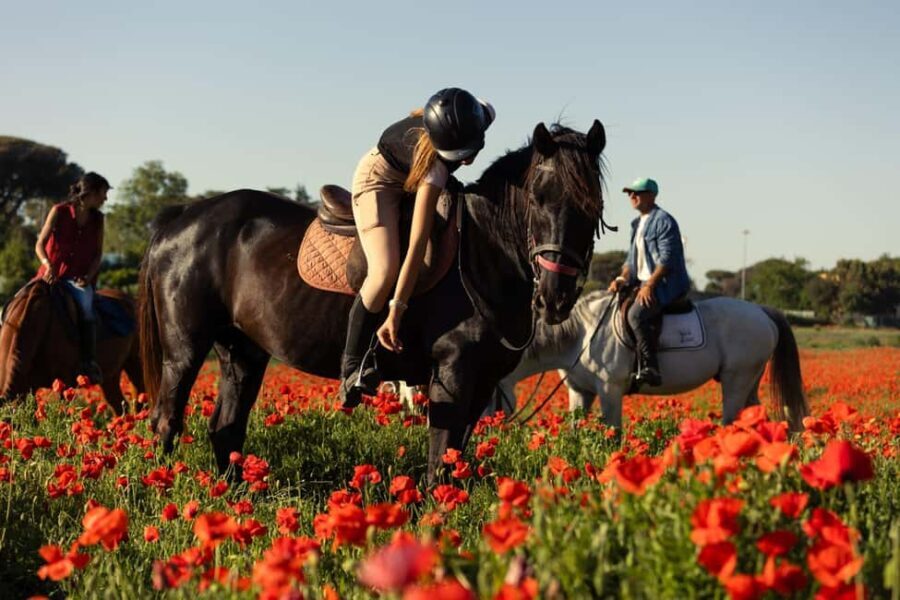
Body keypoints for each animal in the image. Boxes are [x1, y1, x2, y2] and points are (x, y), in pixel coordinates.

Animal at [139, 121, 608, 481]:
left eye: (593, 205)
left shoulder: (483, 384)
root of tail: (181, 216)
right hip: (184, 350)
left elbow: (457, 461)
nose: (555, 297)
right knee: (167, 421)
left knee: (226, 429)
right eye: (538, 198)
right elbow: (440, 462)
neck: (480, 252)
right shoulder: (451, 376)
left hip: (243, 351)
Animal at [496, 290, 809, 430]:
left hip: (737, 379)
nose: (489, 434)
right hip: (750, 380)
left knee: (732, 420)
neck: (581, 335)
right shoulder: (579, 391)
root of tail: (762, 311)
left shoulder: (610, 390)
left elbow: (613, 434)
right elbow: (574, 430)